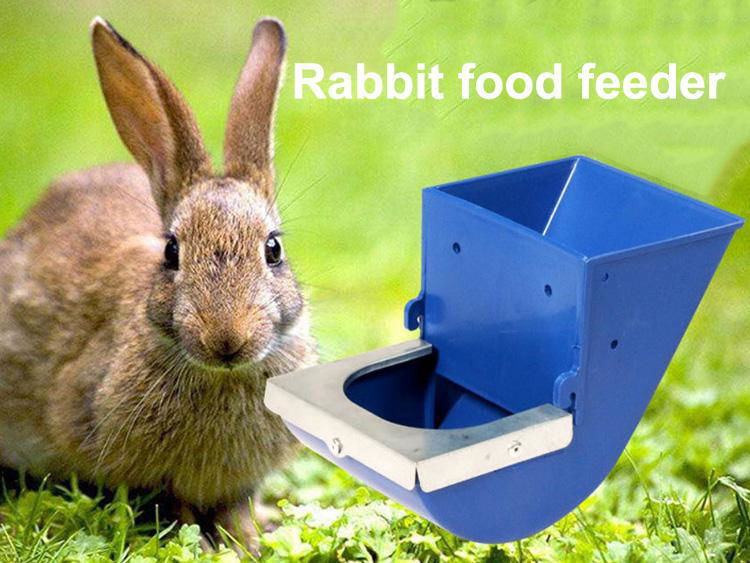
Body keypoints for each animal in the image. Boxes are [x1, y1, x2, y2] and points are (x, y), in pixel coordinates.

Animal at [0, 15, 317, 544]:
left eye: (273, 249)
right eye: (171, 251)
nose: (226, 339)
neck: (222, 377)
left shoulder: (239, 482)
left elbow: (237, 509)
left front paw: (250, 542)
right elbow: (176, 505)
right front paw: (204, 544)